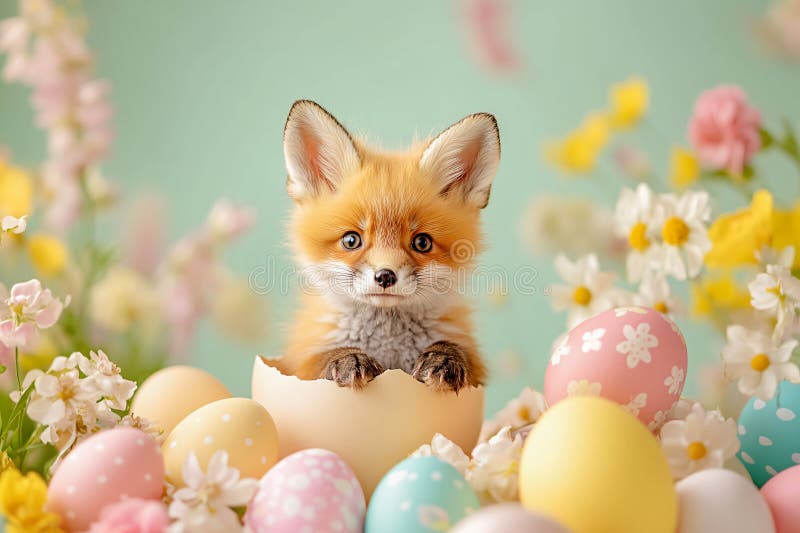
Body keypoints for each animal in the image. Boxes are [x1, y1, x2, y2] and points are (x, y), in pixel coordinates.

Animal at [280, 100, 500, 392]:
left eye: (422, 242)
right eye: (351, 240)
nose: (385, 276)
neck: (388, 341)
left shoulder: (474, 361)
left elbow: (458, 351)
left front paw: (444, 358)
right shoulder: (299, 361)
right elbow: (320, 360)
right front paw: (347, 358)